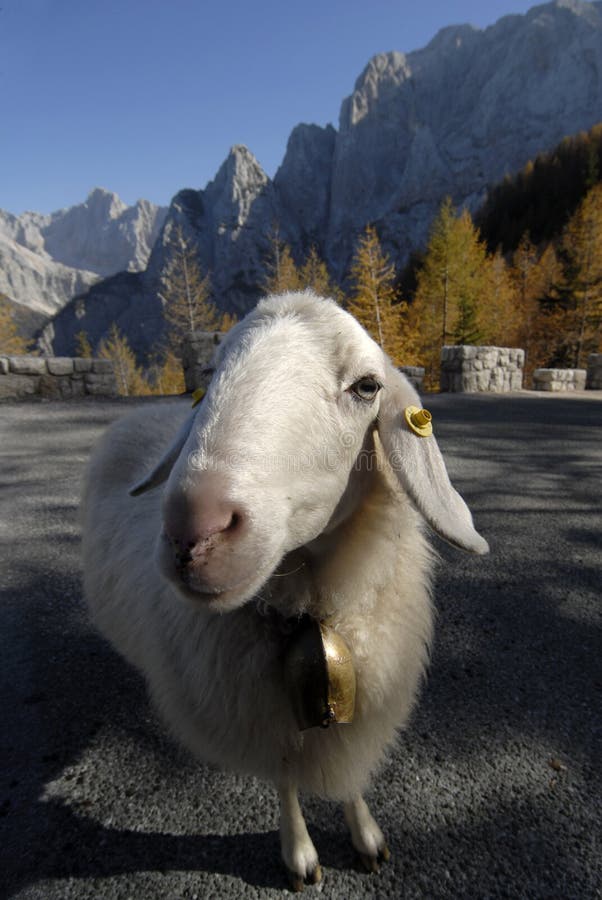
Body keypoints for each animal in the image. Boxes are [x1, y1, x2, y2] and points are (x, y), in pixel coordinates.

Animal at [82, 290, 488, 890]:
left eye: (367, 386)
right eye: (211, 373)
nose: (192, 529)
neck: (311, 609)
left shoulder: (355, 707)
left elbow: (347, 774)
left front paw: (366, 837)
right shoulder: (262, 715)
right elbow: (286, 780)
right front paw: (299, 853)